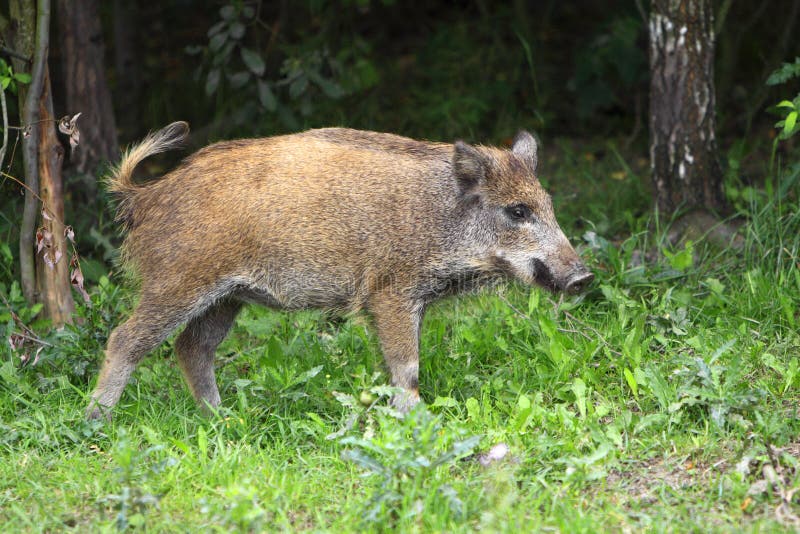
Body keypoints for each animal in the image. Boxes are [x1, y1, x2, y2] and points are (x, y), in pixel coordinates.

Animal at [86, 123, 593, 420]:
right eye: (518, 210)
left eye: (548, 204)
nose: (583, 277)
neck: (440, 218)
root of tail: (145, 197)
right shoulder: (389, 291)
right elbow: (408, 367)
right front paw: (423, 424)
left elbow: (396, 366)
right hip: (179, 282)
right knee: (126, 339)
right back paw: (99, 422)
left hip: (226, 297)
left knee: (192, 347)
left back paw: (225, 420)